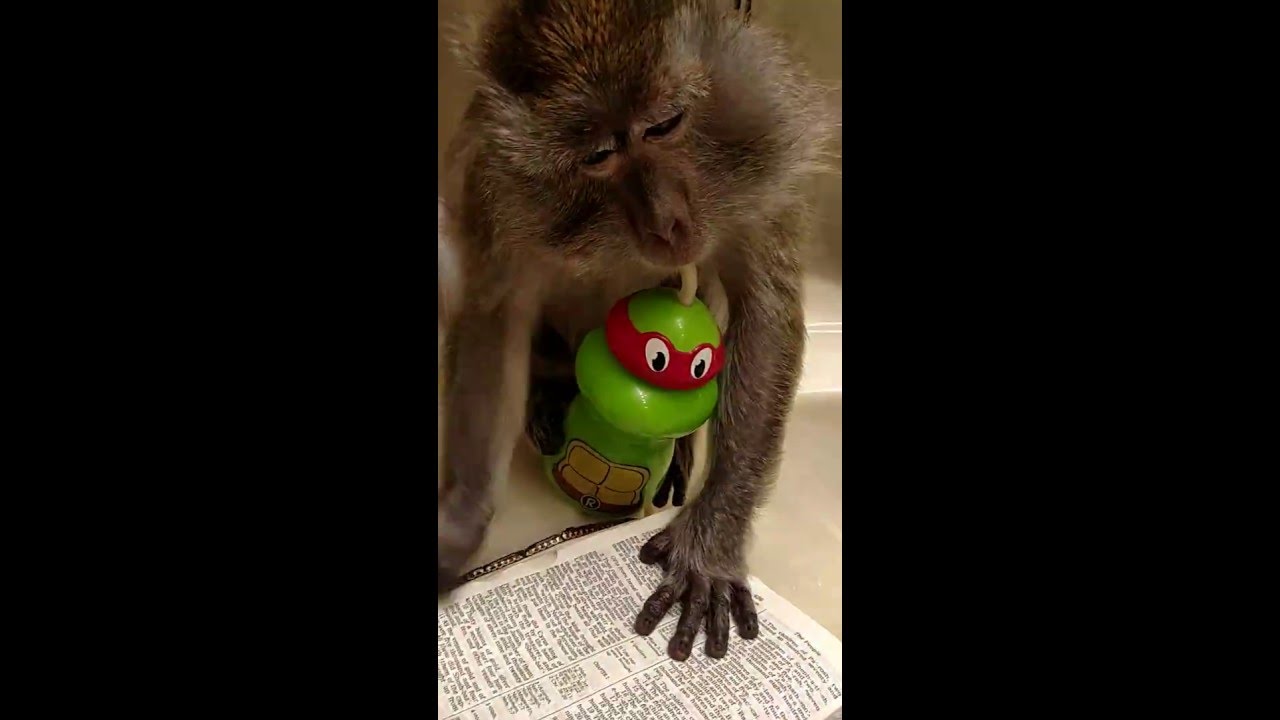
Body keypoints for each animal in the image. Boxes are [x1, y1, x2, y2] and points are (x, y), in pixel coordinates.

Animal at [439, 0, 836, 661]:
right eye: (598, 155)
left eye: (665, 123)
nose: (665, 221)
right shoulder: (501, 185)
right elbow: (496, 313)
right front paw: (462, 522)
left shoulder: (763, 154)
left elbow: (764, 306)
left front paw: (711, 544)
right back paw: (551, 390)